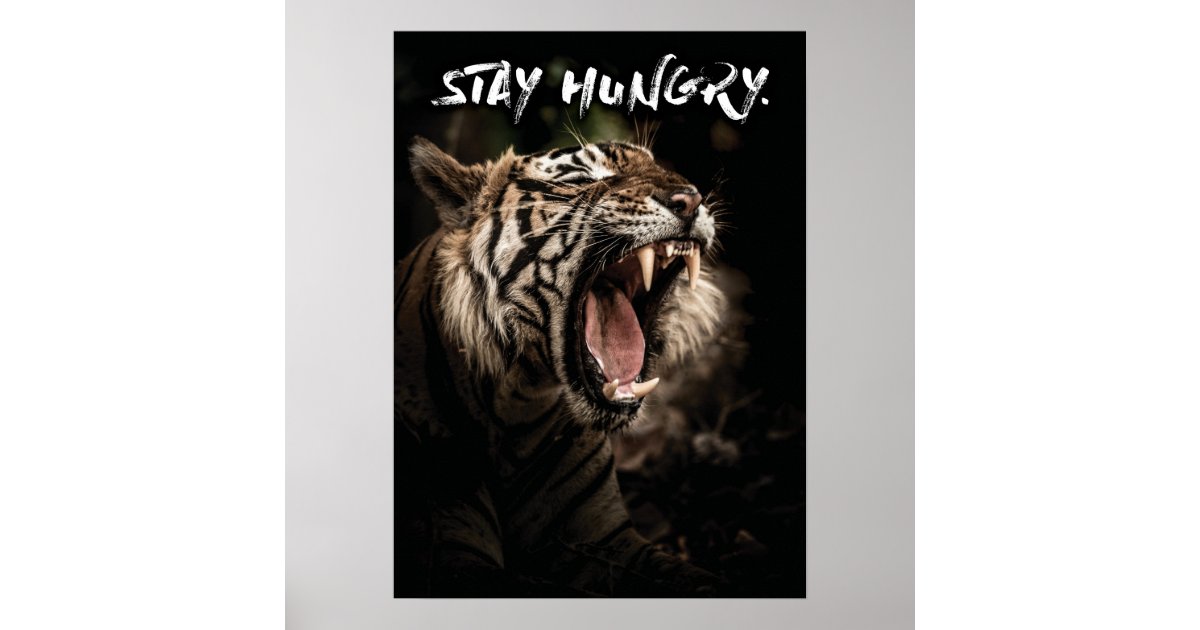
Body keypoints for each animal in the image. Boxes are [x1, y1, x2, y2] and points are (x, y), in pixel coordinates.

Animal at [395, 136, 727, 596]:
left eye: (660, 167)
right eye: (581, 178)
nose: (691, 200)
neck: (517, 403)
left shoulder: (607, 539)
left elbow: (702, 581)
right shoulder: (453, 552)